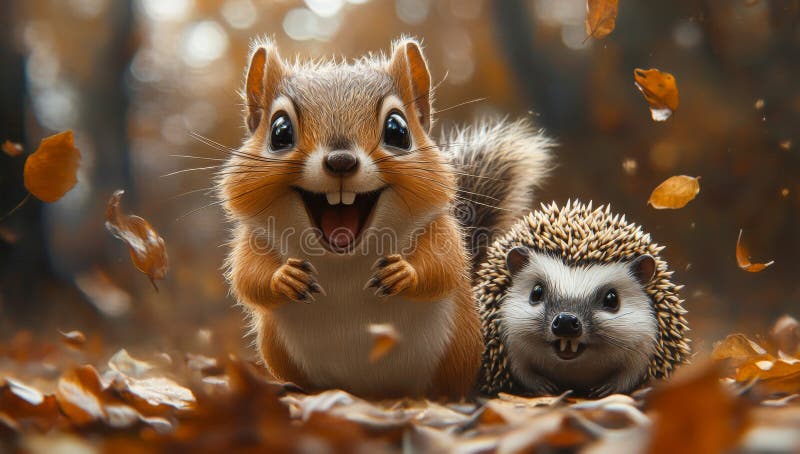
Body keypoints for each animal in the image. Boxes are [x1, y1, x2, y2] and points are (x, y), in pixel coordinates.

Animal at [217, 37, 553, 399]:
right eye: (279, 131)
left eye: (397, 130)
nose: (341, 161)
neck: (344, 259)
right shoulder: (253, 239)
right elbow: (249, 278)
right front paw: (285, 277)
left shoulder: (440, 230)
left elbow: (444, 267)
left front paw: (402, 273)